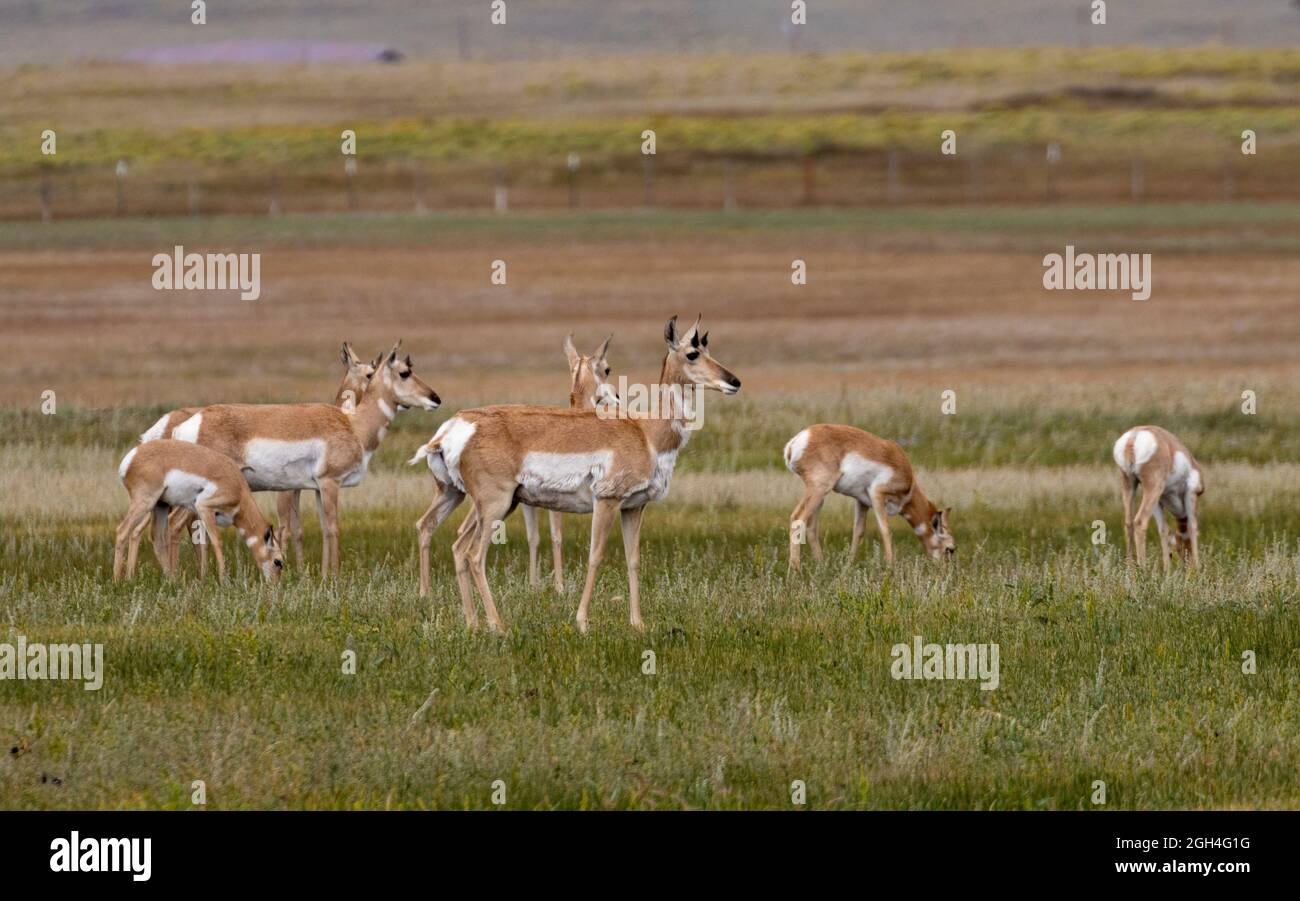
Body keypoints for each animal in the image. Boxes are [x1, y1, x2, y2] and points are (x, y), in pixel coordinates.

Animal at [114, 439, 284, 584]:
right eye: (278, 561)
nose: (275, 586)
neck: (238, 486)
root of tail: (131, 457)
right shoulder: (204, 507)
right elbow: (217, 541)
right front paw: (224, 581)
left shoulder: (201, 515)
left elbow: (203, 544)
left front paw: (203, 579)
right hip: (145, 503)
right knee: (122, 531)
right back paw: (118, 581)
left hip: (160, 506)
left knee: (156, 538)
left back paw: (171, 581)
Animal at [140, 341, 440, 575]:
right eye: (404, 372)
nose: (435, 398)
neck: (352, 424)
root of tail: (185, 423)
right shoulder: (327, 484)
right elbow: (330, 528)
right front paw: (333, 577)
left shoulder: (315, 488)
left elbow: (318, 528)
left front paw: (319, 576)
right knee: (176, 526)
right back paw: (184, 579)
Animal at [416, 333, 618, 597]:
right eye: (607, 369)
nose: (617, 398)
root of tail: (446, 431)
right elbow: (555, 535)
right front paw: (558, 586)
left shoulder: (528, 503)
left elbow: (534, 536)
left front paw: (535, 584)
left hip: (453, 493)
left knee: (427, 525)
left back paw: (425, 593)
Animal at [784, 424, 954, 567]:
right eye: (950, 549)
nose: (944, 572)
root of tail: (797, 441)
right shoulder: (877, 494)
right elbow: (885, 530)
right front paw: (891, 566)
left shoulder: (862, 502)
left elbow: (858, 532)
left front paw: (848, 566)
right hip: (818, 490)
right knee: (798, 518)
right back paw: (795, 569)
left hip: (819, 496)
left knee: (811, 526)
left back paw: (822, 565)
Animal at [1112, 425, 1205, 570]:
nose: (1186, 566)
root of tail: (1133, 436)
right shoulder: (1191, 493)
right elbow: (1192, 527)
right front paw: (1198, 568)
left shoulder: (1158, 502)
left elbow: (1163, 530)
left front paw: (1167, 569)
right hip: (1152, 488)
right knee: (1139, 522)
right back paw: (1142, 569)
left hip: (1129, 484)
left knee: (1128, 523)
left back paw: (1130, 569)